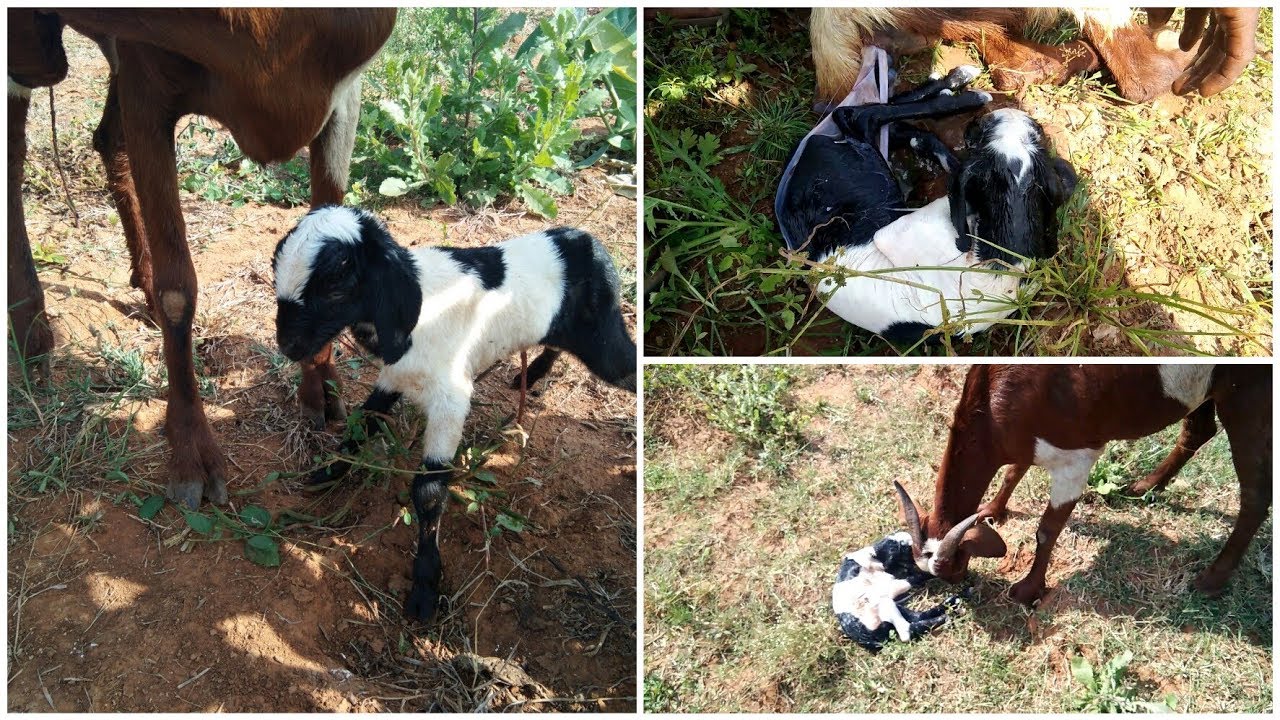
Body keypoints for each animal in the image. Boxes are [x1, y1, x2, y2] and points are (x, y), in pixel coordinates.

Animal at [8, 10, 397, 510]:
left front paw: (322, 386)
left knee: (106, 137)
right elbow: (177, 290)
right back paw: (31, 330)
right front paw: (191, 450)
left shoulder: (346, 91)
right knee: (19, 145)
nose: (41, 66)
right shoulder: (144, 83)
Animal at [272, 205, 636, 621]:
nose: (287, 346)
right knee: (555, 345)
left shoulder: (452, 397)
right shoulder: (395, 375)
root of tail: (589, 242)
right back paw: (531, 375)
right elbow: (364, 421)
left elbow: (429, 490)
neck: (421, 308)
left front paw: (425, 588)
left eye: (335, 286)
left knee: (627, 366)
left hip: (604, 341)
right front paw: (329, 472)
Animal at [776, 66, 1077, 343]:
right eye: (1036, 137)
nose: (1019, 117)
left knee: (859, 116)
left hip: (874, 179)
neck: (1003, 258)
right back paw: (954, 87)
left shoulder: (898, 229)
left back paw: (955, 99)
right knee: (873, 114)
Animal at [833, 482, 973, 652]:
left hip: (891, 608)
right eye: (909, 550)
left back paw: (956, 600)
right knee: (907, 630)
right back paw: (949, 614)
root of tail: (863, 638)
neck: (871, 555)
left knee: (915, 617)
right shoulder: (892, 583)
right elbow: (918, 577)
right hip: (885, 606)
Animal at [893, 365, 1271, 606]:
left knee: (1256, 492)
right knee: (1199, 430)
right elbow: (1014, 470)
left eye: (954, 563)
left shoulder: (1078, 456)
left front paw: (1027, 590)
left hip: (1248, 395)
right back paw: (1146, 487)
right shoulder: (1029, 439)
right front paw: (993, 509)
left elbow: (1047, 530)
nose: (959, 581)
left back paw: (1212, 579)